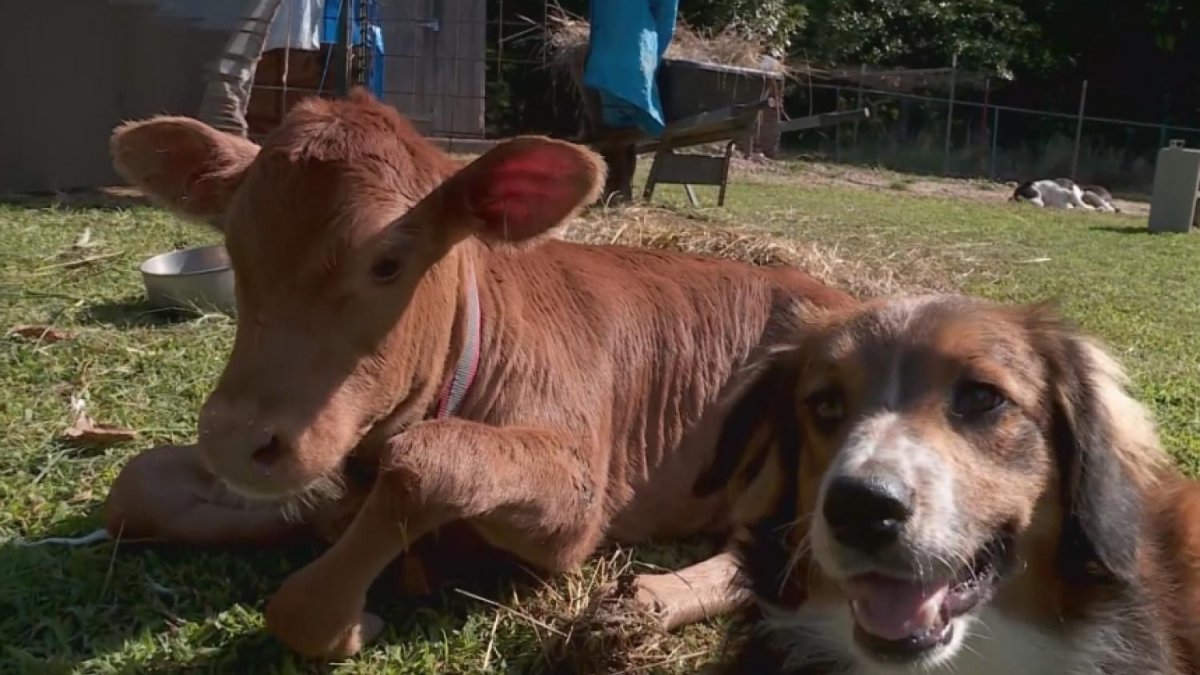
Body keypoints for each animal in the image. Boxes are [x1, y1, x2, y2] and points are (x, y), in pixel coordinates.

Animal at [101, 88, 855, 659]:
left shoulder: (580, 503)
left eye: (388, 261)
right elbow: (134, 487)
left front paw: (347, 615)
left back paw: (638, 603)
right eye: (234, 245)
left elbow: (421, 463)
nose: (238, 441)